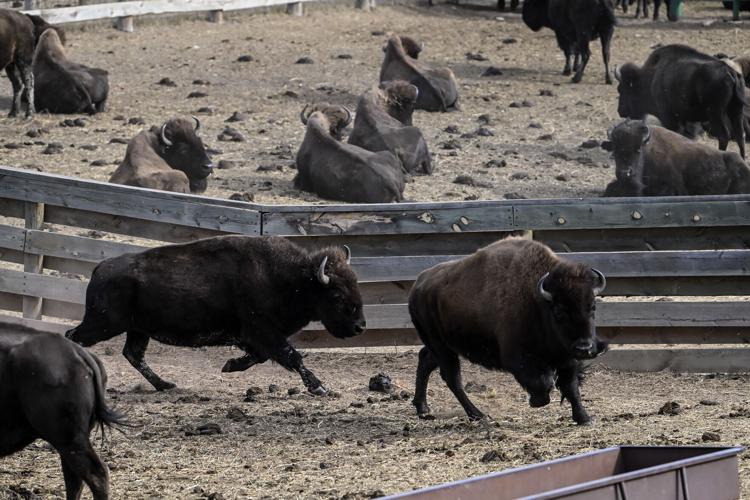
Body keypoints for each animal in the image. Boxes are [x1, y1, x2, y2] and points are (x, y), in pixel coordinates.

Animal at [66, 236, 366, 395]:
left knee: (133, 354)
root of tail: (100, 268)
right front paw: (319, 387)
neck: (293, 278)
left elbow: (262, 356)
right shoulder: (263, 332)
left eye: (356, 284)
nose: (360, 326)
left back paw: (166, 384)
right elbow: (293, 357)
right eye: (337, 294)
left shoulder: (255, 338)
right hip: (103, 324)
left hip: (137, 330)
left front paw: (229, 365)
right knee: (74, 337)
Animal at [409, 237, 607, 425]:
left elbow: (571, 388)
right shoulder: (517, 358)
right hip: (441, 347)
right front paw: (536, 401)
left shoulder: (567, 359)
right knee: (452, 378)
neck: (537, 302)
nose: (584, 348)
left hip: (443, 346)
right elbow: (544, 382)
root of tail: (418, 285)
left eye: (593, 306)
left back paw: (423, 408)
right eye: (559, 311)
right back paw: (478, 414)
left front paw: (584, 418)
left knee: (426, 360)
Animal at [615, 44, 746, 158]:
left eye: (621, 89)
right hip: (736, 110)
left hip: (715, 114)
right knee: (740, 135)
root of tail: (731, 72)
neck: (651, 79)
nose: (620, 111)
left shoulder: (669, 118)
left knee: (724, 136)